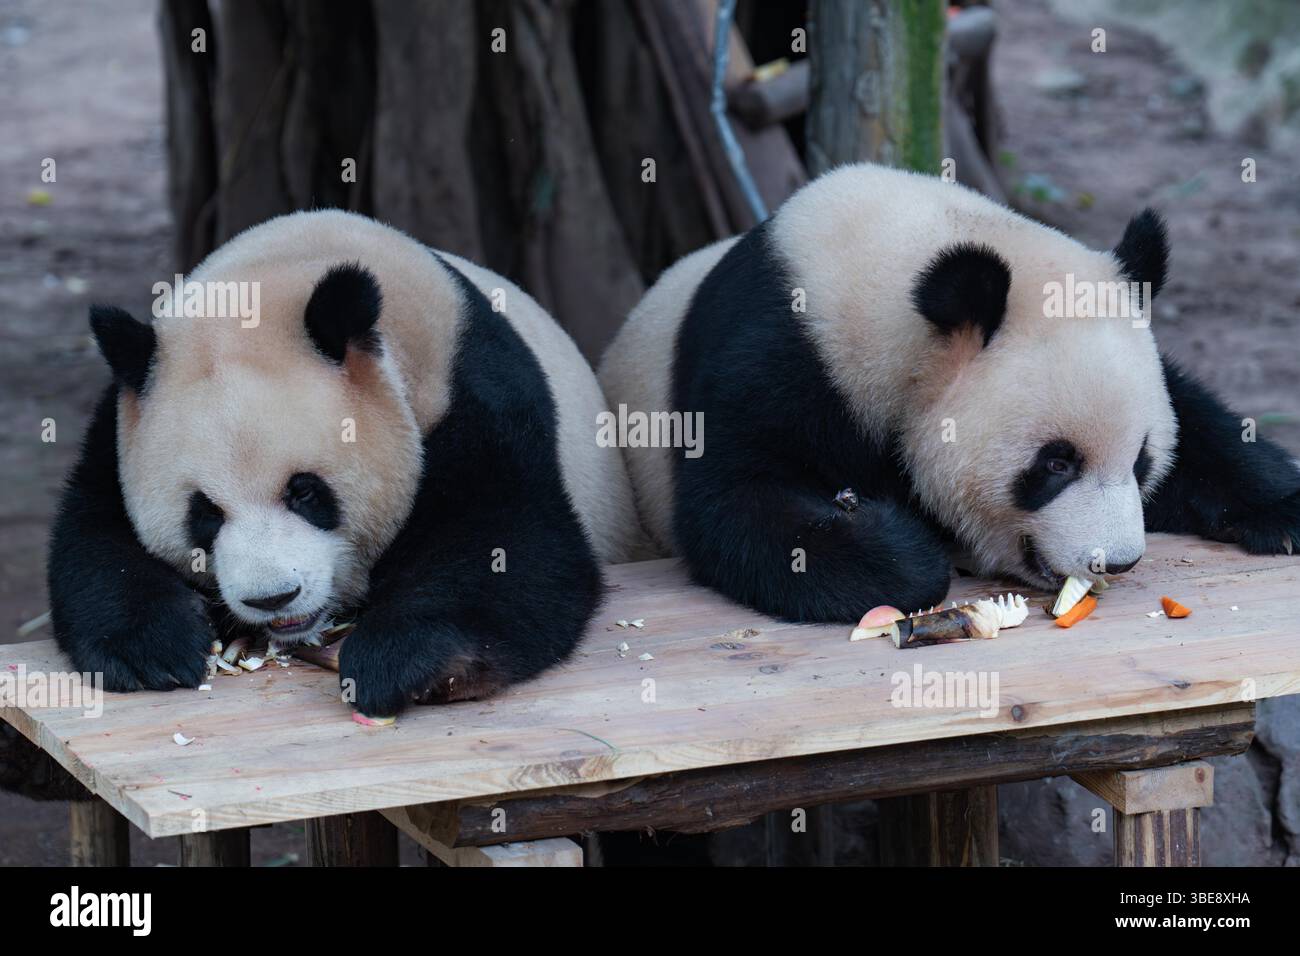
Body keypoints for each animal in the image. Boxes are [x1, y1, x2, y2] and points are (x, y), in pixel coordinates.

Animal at [51, 209, 640, 717]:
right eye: (205, 514)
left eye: (305, 491)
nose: (274, 598)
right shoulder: (121, 421)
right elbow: (93, 533)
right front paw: (153, 646)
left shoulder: (476, 391)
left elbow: (515, 545)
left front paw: (404, 660)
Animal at [598, 163, 1300, 622]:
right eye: (1056, 463)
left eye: (1143, 461)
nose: (1119, 560)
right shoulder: (779, 352)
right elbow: (733, 501)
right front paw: (894, 543)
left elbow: (1203, 423)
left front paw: (1280, 510)